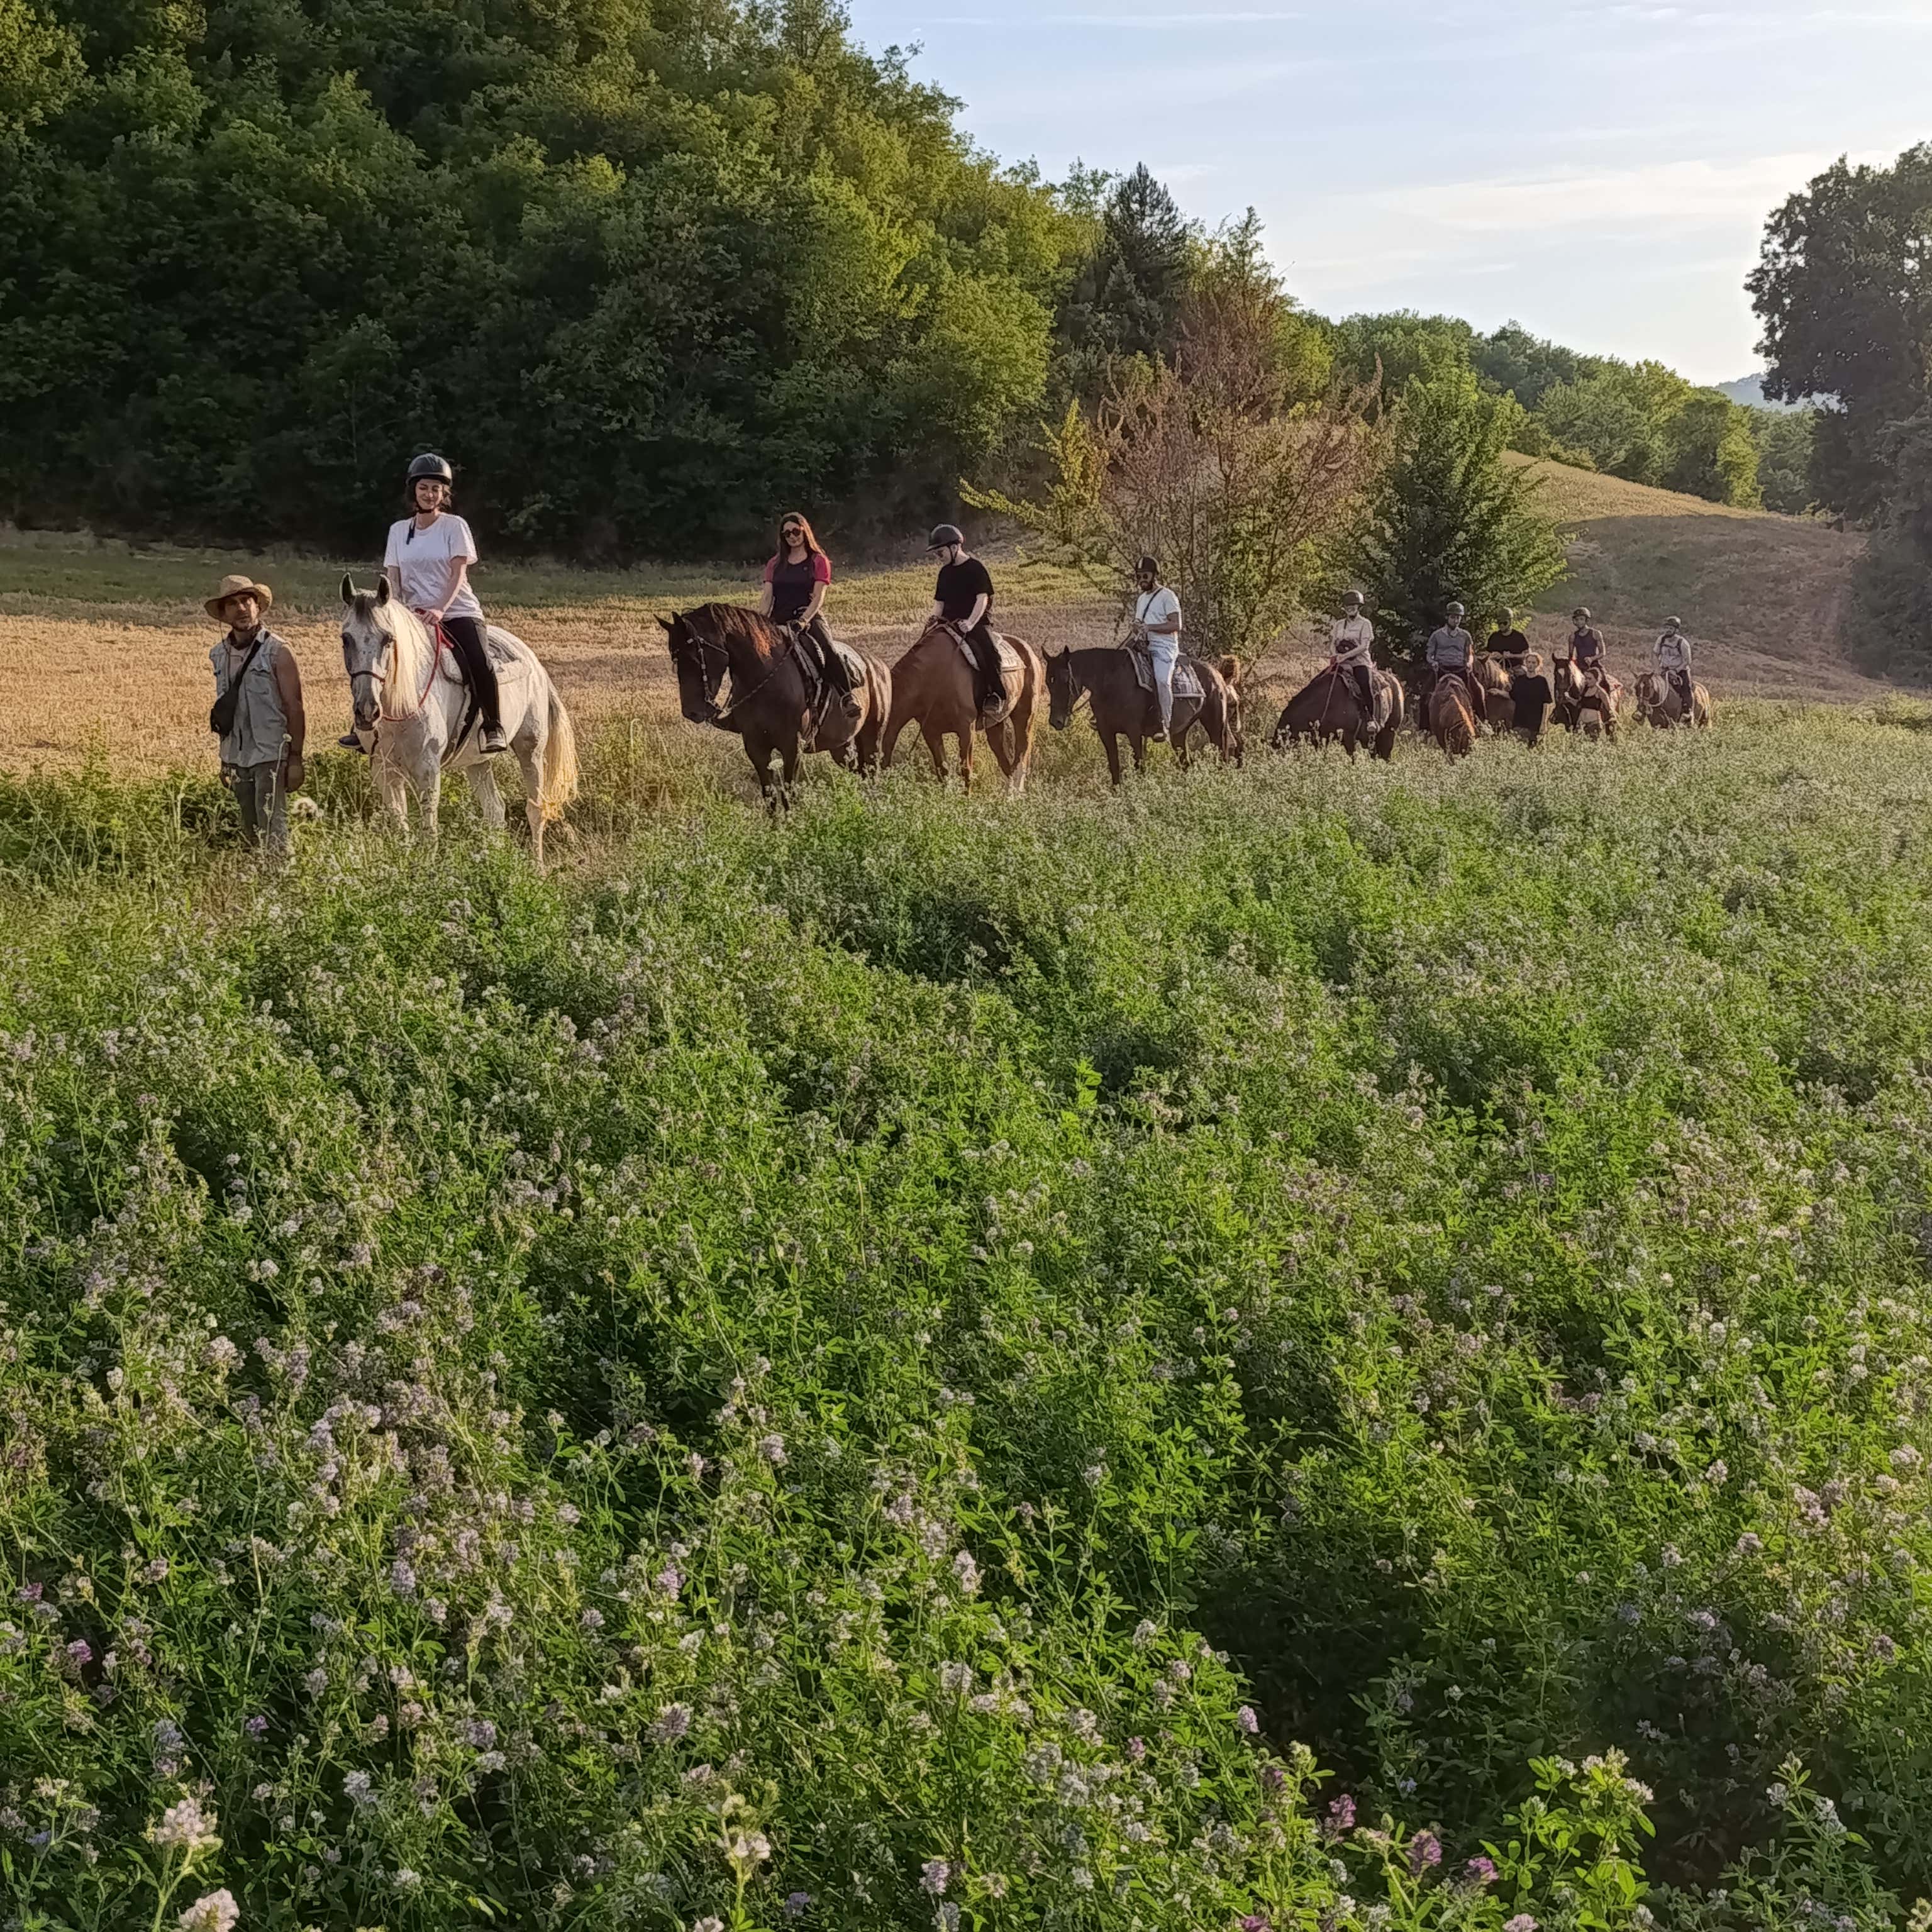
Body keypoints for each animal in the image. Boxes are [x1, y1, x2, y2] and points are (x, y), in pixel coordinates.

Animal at [339, 575, 579, 869]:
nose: (367, 711)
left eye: (388, 639)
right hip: (477, 761)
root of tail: (535, 663)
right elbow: (401, 827)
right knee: (495, 809)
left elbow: (429, 831)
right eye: (346, 639)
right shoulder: (384, 771)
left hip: (530, 749)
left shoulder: (428, 770)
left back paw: (537, 868)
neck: (402, 702)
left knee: (535, 809)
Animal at [659, 604, 892, 808]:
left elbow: (789, 793)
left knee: (872, 771)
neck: (765, 679)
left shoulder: (792, 747)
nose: (692, 712)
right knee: (860, 771)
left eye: (695, 656)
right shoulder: (756, 748)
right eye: (675, 657)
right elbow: (769, 795)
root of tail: (878, 665)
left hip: (873, 736)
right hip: (842, 747)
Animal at [880, 619, 1043, 795]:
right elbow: (943, 770)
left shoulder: (966, 730)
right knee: (1006, 764)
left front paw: (967, 799)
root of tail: (1030, 653)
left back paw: (1016, 796)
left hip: (1025, 717)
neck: (934, 677)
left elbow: (966, 770)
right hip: (995, 726)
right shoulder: (931, 732)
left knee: (1021, 756)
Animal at [1045, 647, 1243, 783]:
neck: (1110, 682)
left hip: (1216, 727)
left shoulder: (1134, 732)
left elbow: (1139, 764)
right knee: (1186, 762)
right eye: (1048, 682)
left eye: (1065, 680)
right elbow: (1115, 767)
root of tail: (1218, 675)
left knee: (1223, 756)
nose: (1056, 721)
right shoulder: (1106, 732)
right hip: (1179, 734)